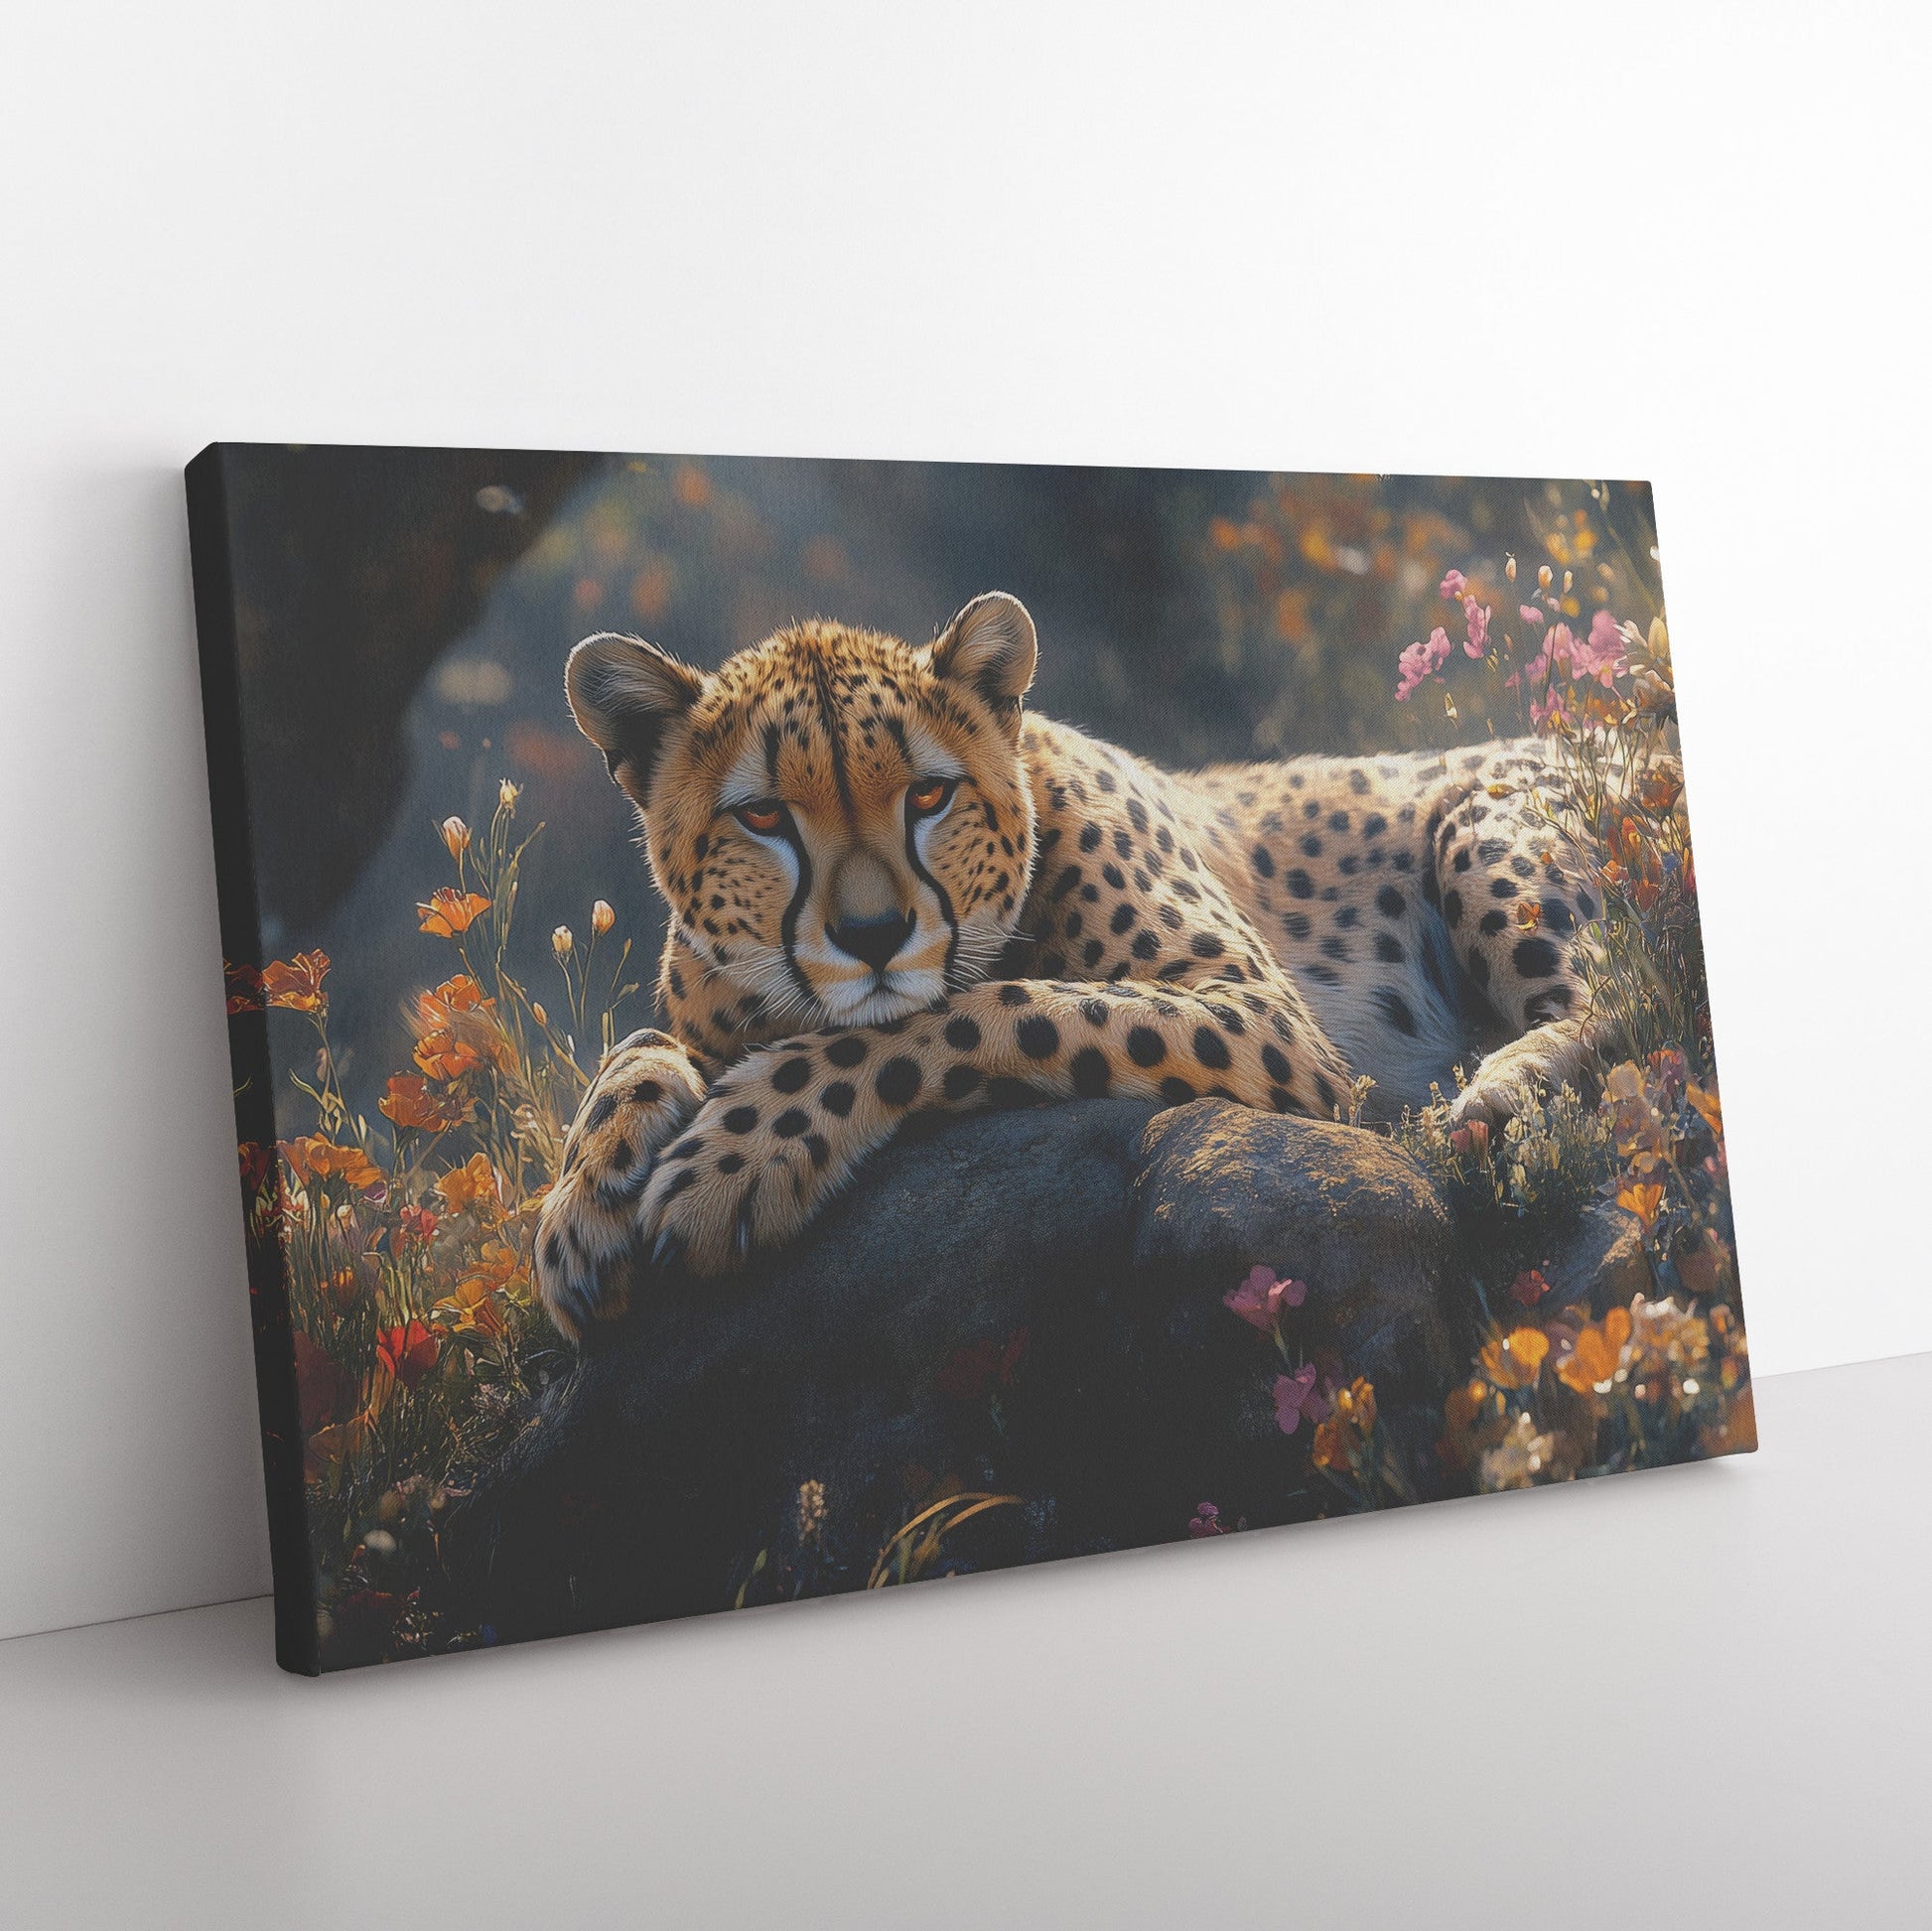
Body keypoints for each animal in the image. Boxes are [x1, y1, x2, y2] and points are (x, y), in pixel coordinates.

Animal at [534, 590, 1609, 1340]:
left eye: (929, 794)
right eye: (762, 816)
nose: (874, 934)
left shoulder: (1263, 1012)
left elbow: (979, 1010)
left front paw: (740, 1152)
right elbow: (639, 1044)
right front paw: (581, 1211)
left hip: (1483, 818)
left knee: (1613, 999)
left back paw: (1495, 1090)